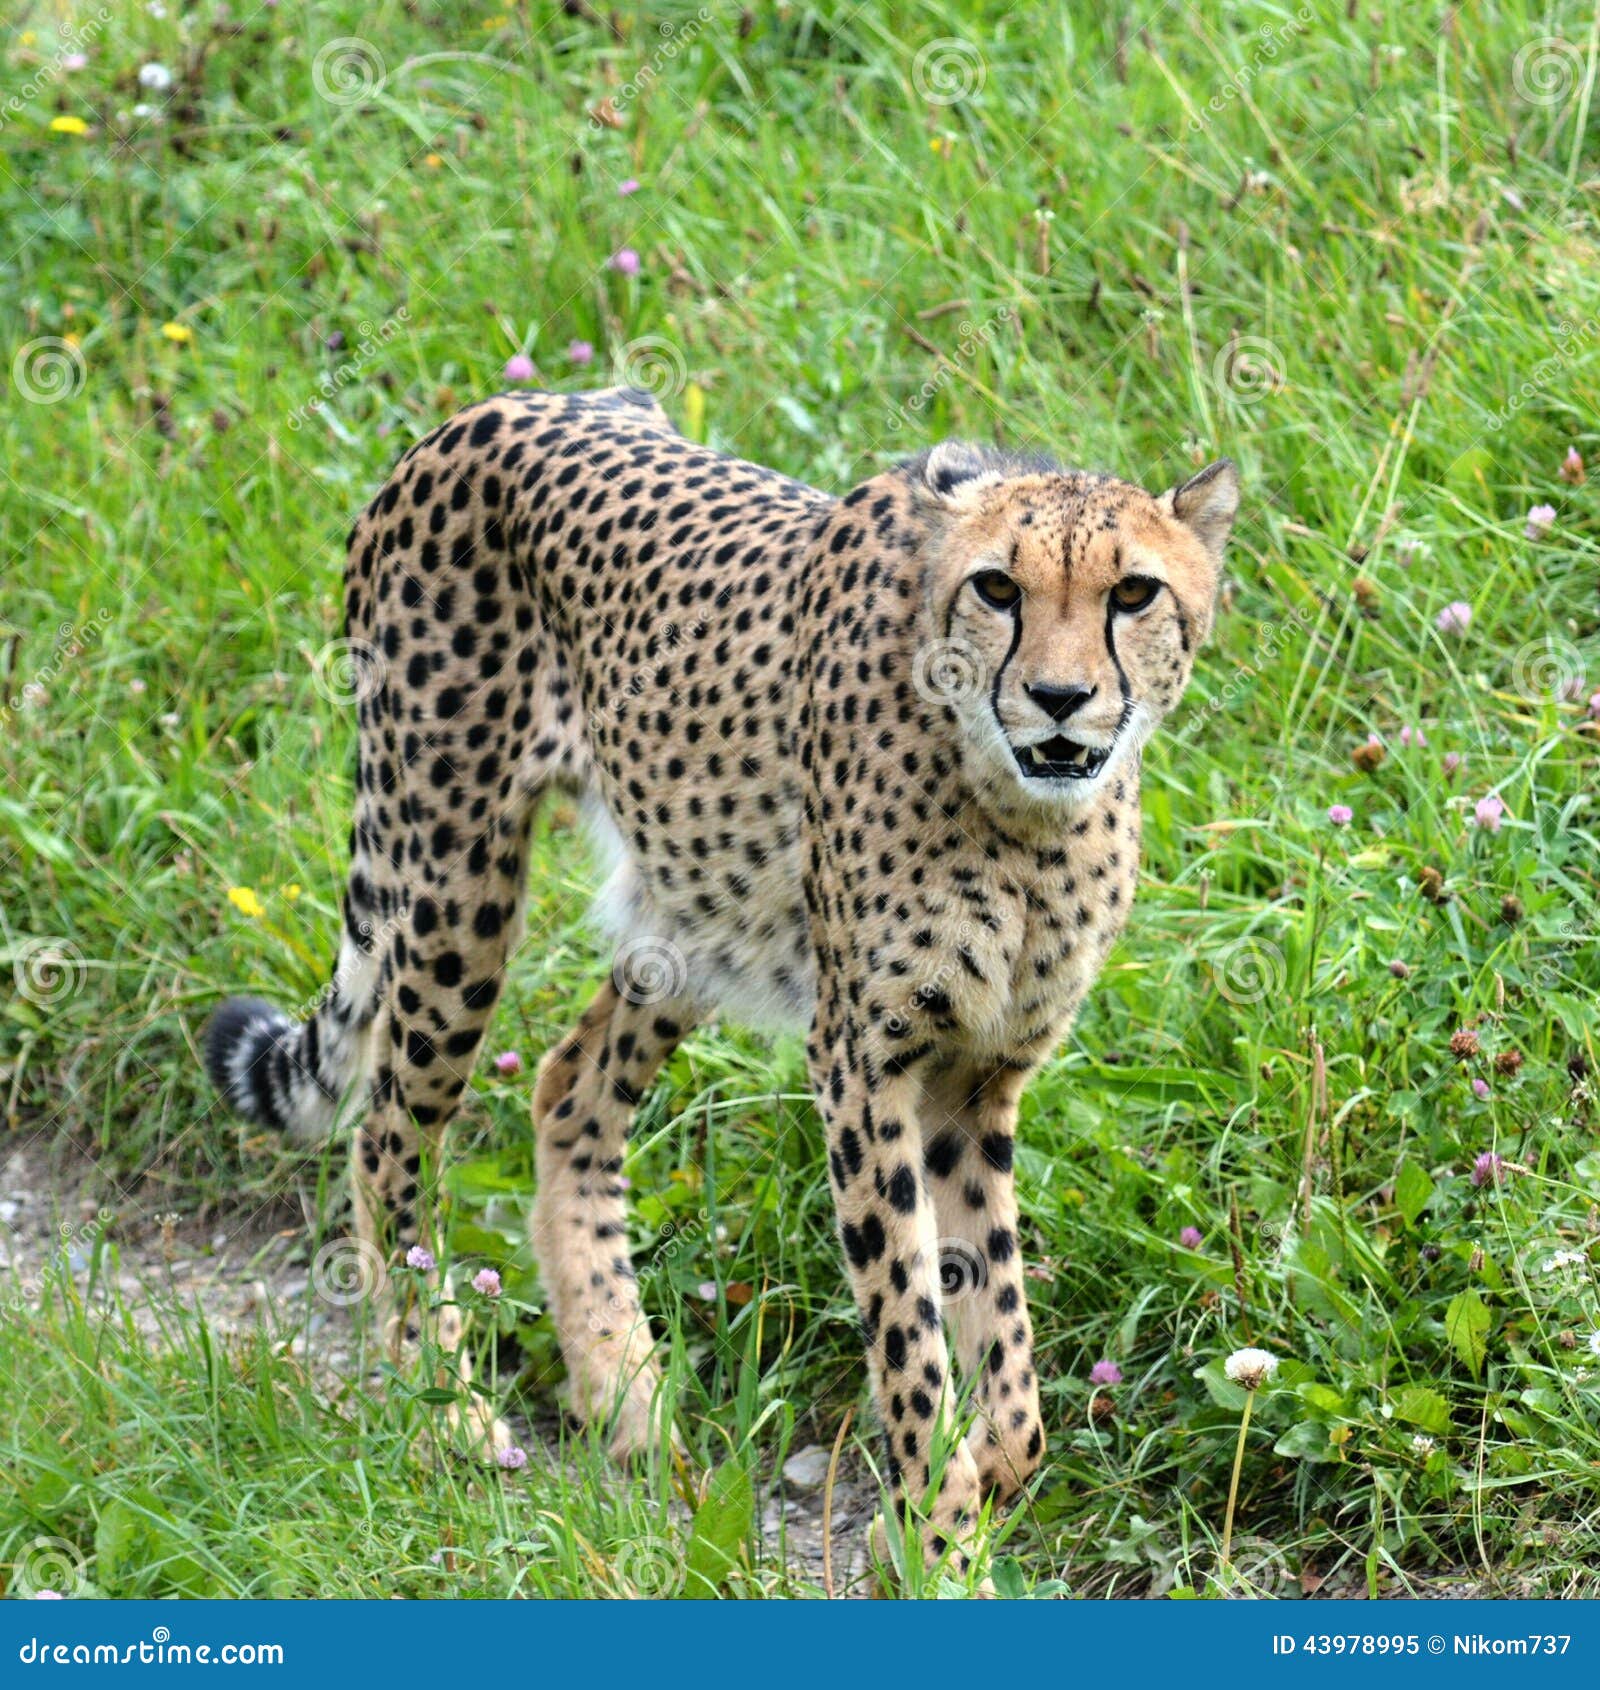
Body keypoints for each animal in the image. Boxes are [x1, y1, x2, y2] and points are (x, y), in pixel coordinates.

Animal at [205, 383, 1237, 1575]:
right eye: (996, 587)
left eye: (1132, 592)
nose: (1060, 697)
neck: (1022, 816)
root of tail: (508, 401)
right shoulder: (863, 1064)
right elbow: (909, 1327)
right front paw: (936, 1538)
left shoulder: (976, 1081)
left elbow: (1008, 1361)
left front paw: (969, 1481)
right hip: (452, 879)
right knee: (387, 1131)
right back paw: (441, 1401)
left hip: (693, 919)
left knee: (567, 1087)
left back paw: (622, 1387)